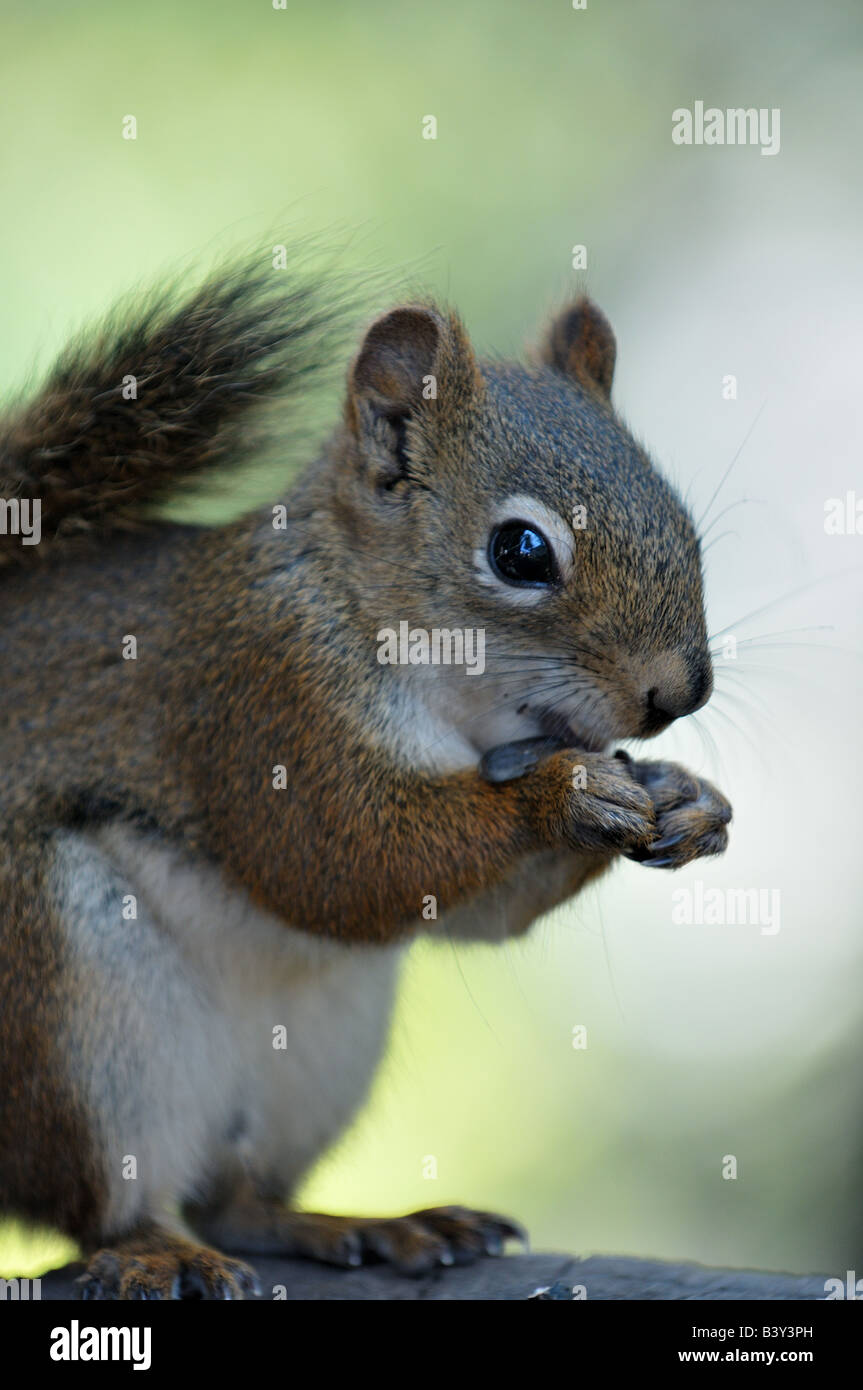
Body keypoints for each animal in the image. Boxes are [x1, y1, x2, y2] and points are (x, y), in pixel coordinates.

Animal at [0, 251, 731, 1299]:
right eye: (520, 551)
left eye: (685, 527)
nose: (677, 693)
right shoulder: (260, 689)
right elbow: (339, 860)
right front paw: (566, 794)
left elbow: (464, 912)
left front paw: (688, 800)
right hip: (65, 1006)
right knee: (105, 1201)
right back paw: (151, 1247)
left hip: (317, 1052)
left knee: (235, 1198)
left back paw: (366, 1224)